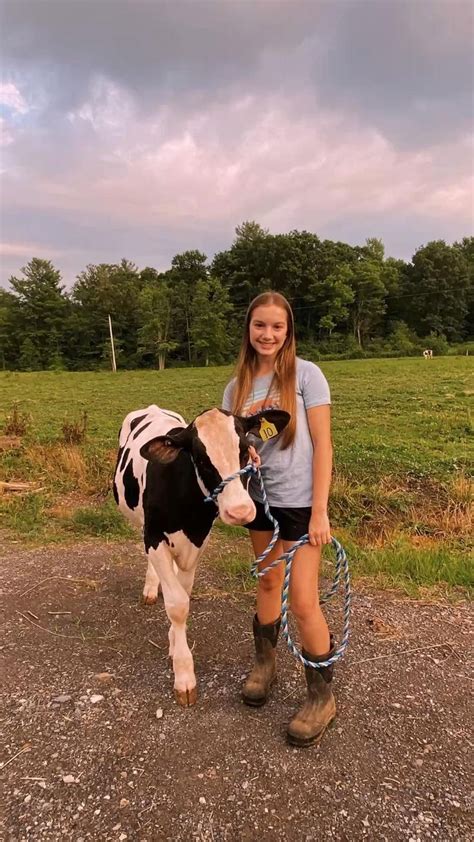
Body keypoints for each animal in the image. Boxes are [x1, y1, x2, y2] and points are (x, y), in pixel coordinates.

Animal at [113, 404, 289, 706]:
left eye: (245, 450)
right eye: (201, 459)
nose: (240, 511)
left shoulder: (197, 541)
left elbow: (183, 597)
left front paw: (175, 644)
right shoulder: (154, 535)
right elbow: (177, 604)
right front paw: (184, 675)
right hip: (139, 521)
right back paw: (150, 588)